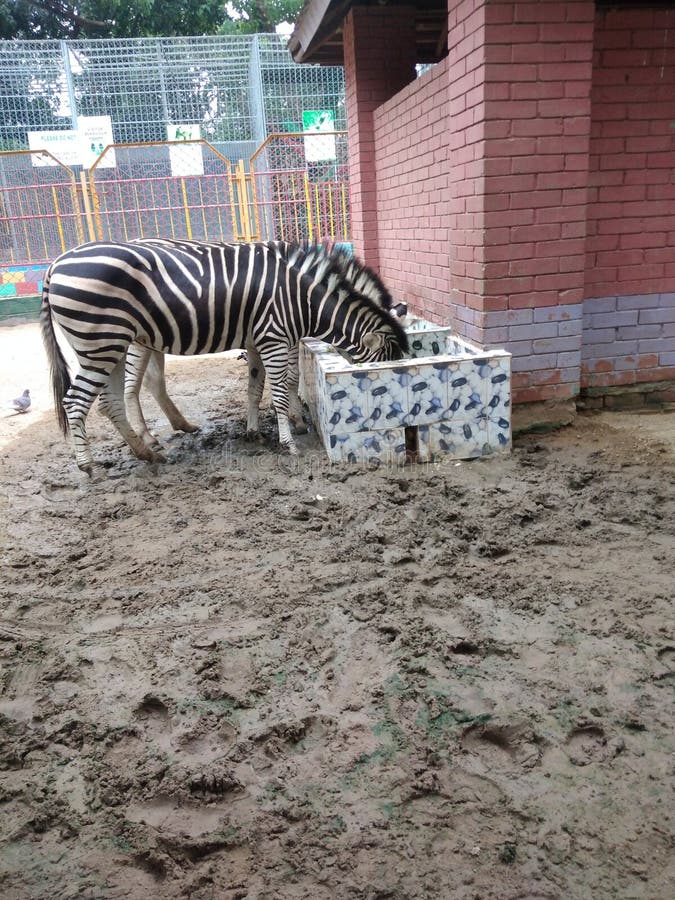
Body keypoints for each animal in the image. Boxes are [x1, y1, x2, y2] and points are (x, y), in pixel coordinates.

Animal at [41, 239, 409, 474]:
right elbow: (280, 389)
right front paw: (289, 439)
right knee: (77, 401)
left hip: (110, 345)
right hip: (102, 344)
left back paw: (146, 451)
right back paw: (89, 465)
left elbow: (255, 388)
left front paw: (253, 431)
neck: (302, 299)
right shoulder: (274, 337)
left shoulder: (258, 340)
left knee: (112, 400)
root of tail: (56, 263)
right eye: (384, 369)